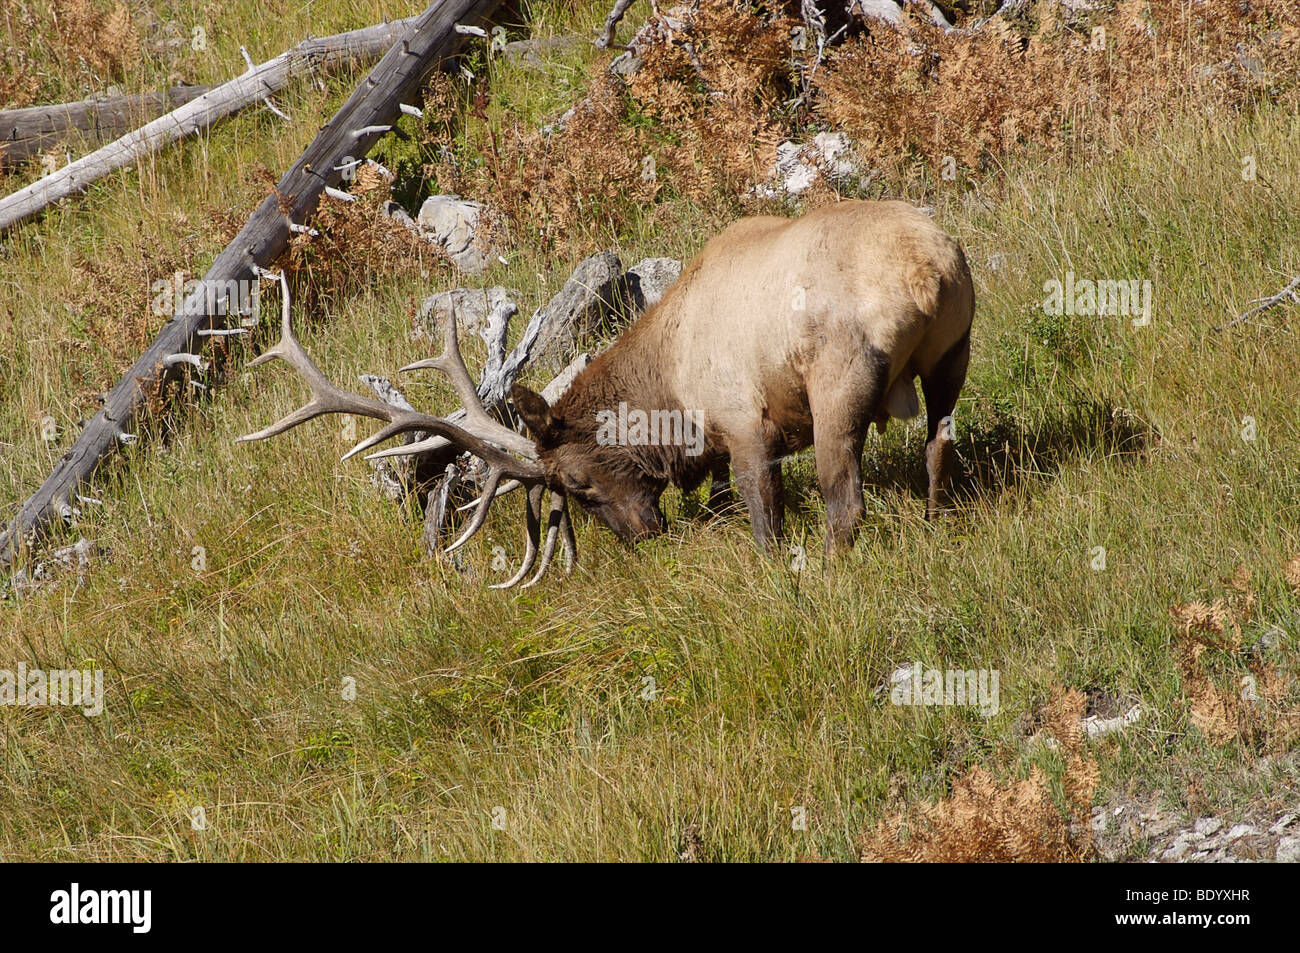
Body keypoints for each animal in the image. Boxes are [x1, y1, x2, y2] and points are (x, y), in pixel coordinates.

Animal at [240, 199, 974, 588]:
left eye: (576, 483)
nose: (642, 536)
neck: (672, 396)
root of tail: (927, 272)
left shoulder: (744, 421)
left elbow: (763, 518)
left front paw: (770, 572)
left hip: (840, 377)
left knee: (845, 502)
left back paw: (827, 567)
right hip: (953, 351)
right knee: (938, 449)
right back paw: (938, 522)